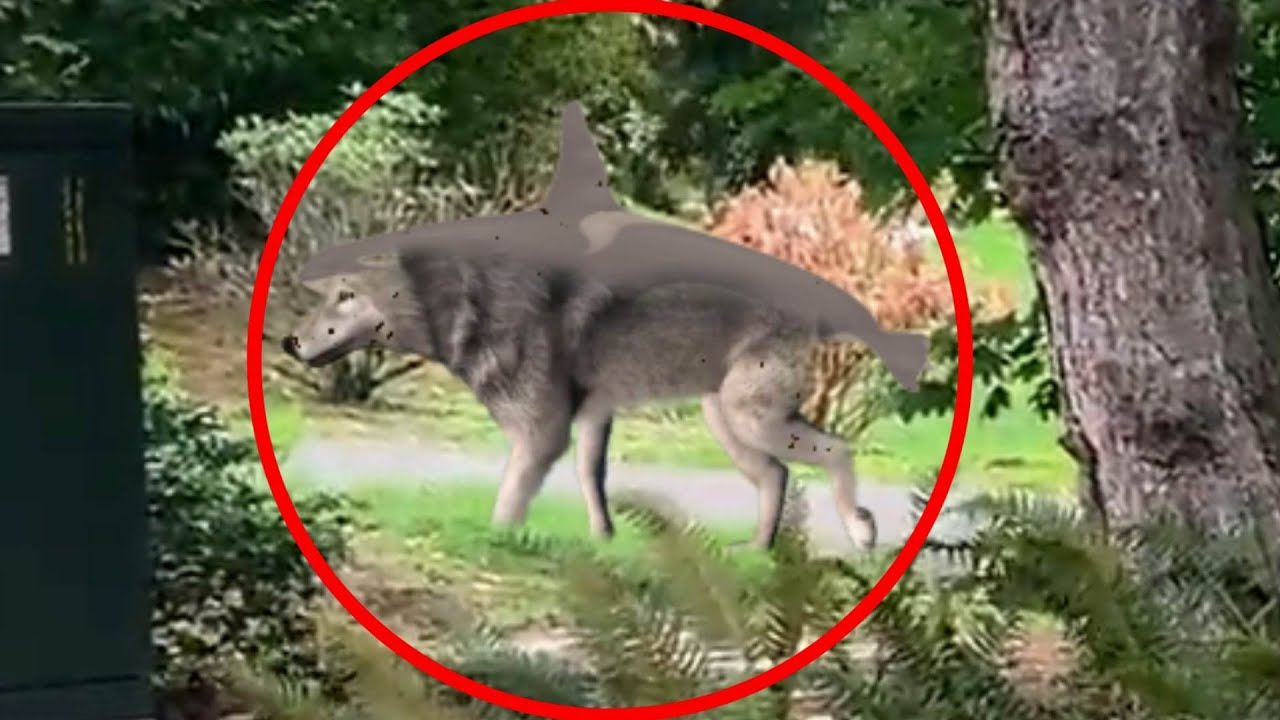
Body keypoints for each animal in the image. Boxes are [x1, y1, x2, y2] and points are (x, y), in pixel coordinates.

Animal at [282, 253, 881, 551]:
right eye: (328, 295)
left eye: (346, 296)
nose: (288, 341)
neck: (470, 305)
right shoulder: (593, 415)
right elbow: (592, 481)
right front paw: (604, 543)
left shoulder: (541, 433)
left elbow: (509, 504)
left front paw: (495, 544)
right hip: (731, 425)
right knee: (778, 476)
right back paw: (756, 551)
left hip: (749, 421)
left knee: (839, 451)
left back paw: (861, 531)